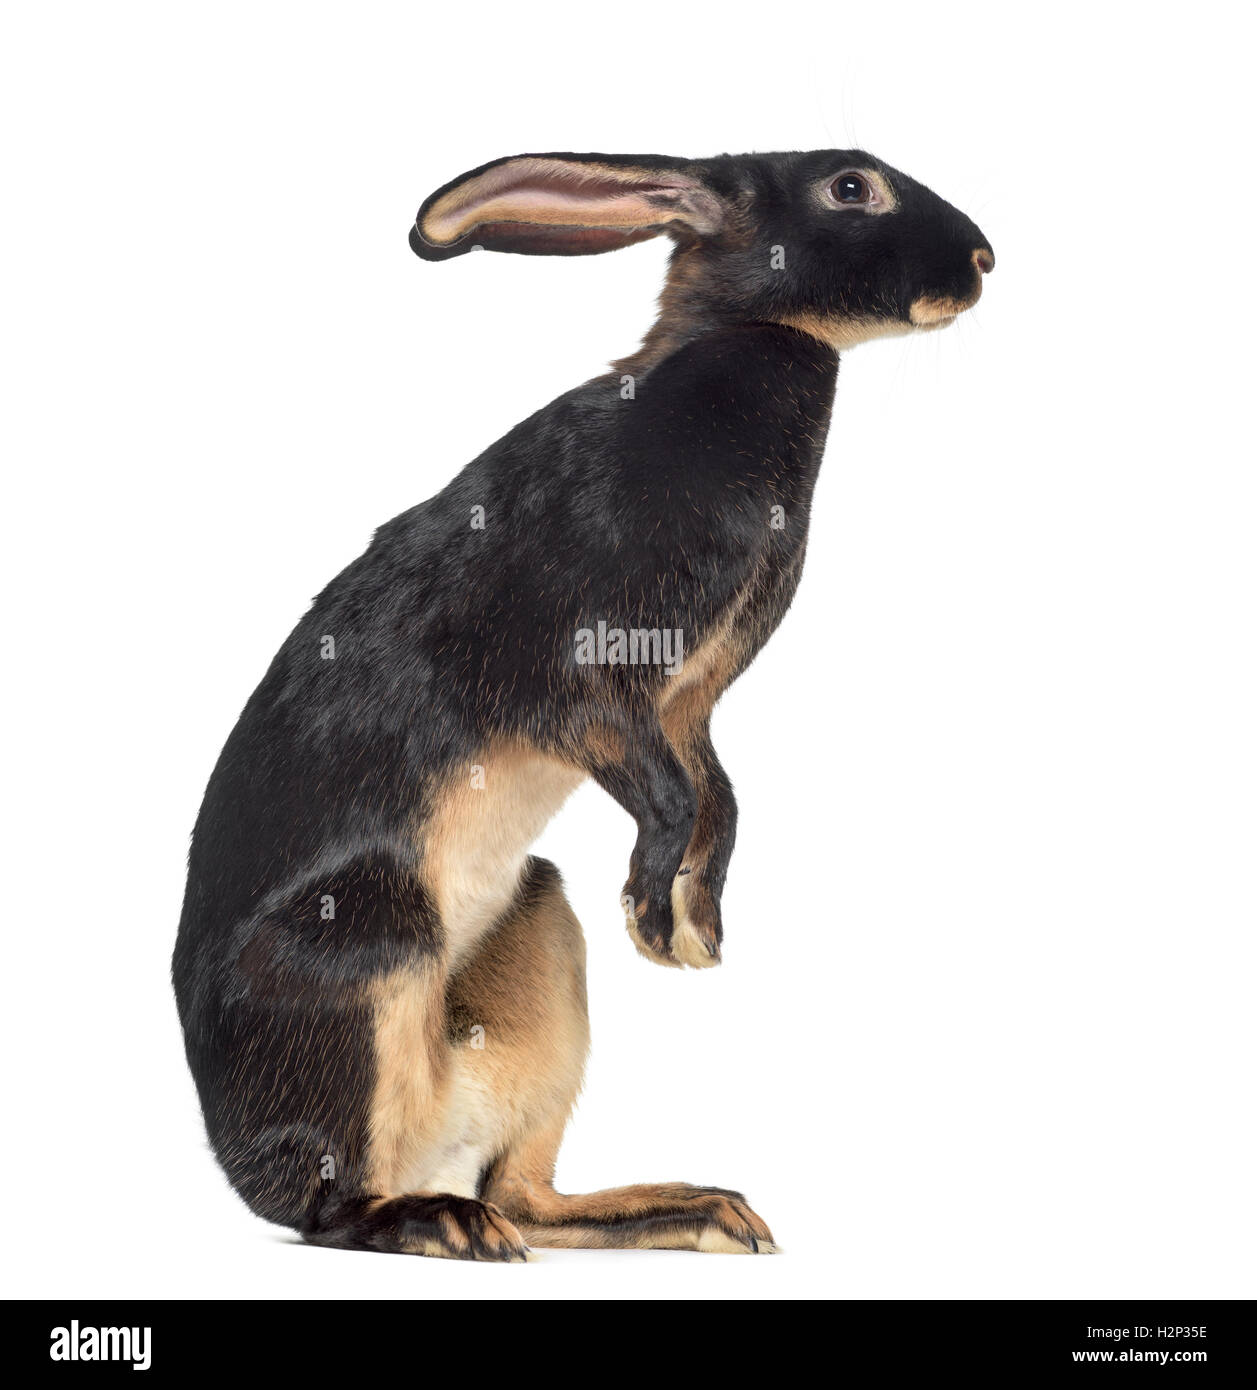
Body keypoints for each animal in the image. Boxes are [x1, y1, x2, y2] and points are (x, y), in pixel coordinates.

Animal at [173, 149, 993, 1259]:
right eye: (850, 187)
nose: (982, 262)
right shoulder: (581, 683)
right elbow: (671, 793)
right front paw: (653, 912)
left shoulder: (687, 704)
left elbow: (720, 795)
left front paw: (695, 925)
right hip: (366, 953)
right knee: (330, 1204)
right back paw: (437, 1221)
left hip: (539, 931)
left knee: (527, 1192)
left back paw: (698, 1211)